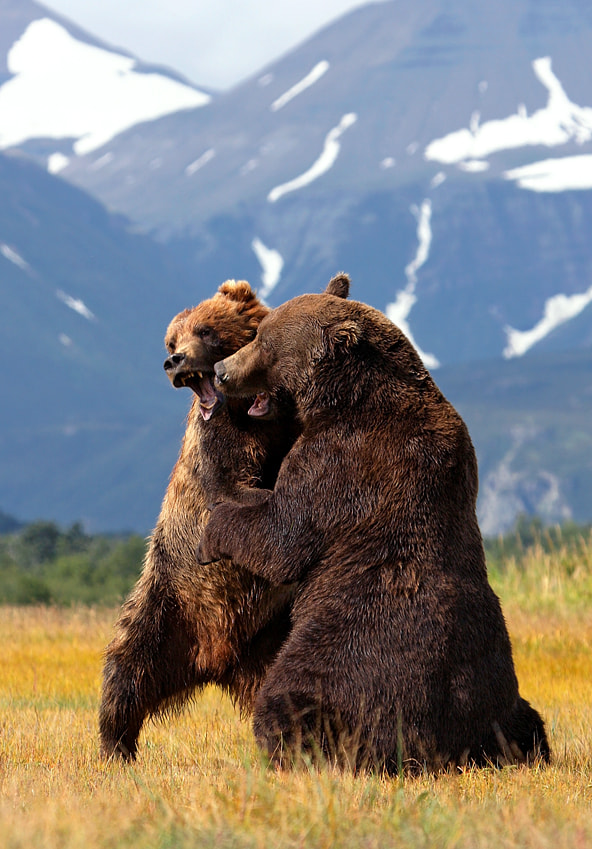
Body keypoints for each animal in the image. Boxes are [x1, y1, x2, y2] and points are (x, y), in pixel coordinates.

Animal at [99, 280, 298, 760]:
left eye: (206, 330)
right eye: (171, 341)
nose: (174, 361)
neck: (252, 412)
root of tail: (214, 657)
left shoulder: (284, 427)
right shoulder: (217, 445)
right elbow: (232, 488)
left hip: (269, 630)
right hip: (166, 601)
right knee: (126, 666)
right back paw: (115, 746)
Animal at [197, 273, 550, 774]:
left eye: (265, 341)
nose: (223, 370)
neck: (344, 397)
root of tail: (442, 747)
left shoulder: (339, 460)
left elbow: (282, 538)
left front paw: (212, 530)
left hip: (349, 649)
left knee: (295, 699)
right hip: (492, 680)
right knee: (522, 720)